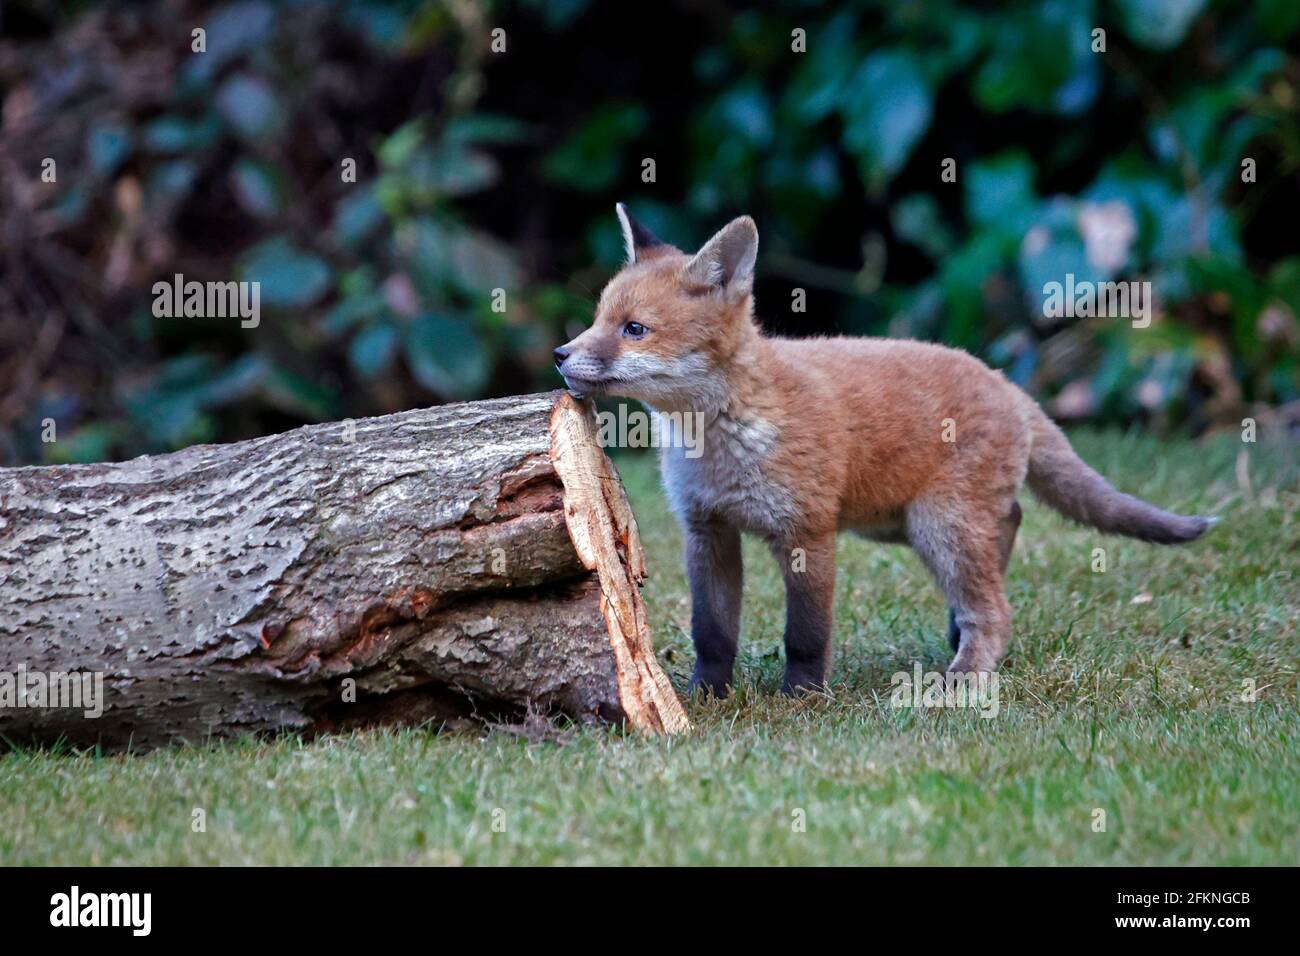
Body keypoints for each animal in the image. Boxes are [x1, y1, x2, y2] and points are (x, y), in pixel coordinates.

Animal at [554, 204, 1216, 696]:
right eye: (598, 319)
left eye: (634, 330)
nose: (561, 356)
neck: (718, 438)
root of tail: (1007, 381)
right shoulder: (707, 531)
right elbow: (711, 633)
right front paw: (704, 696)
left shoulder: (808, 532)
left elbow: (806, 634)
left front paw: (802, 698)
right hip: (908, 524)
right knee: (1011, 528)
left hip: (937, 525)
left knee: (996, 608)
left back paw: (966, 671)